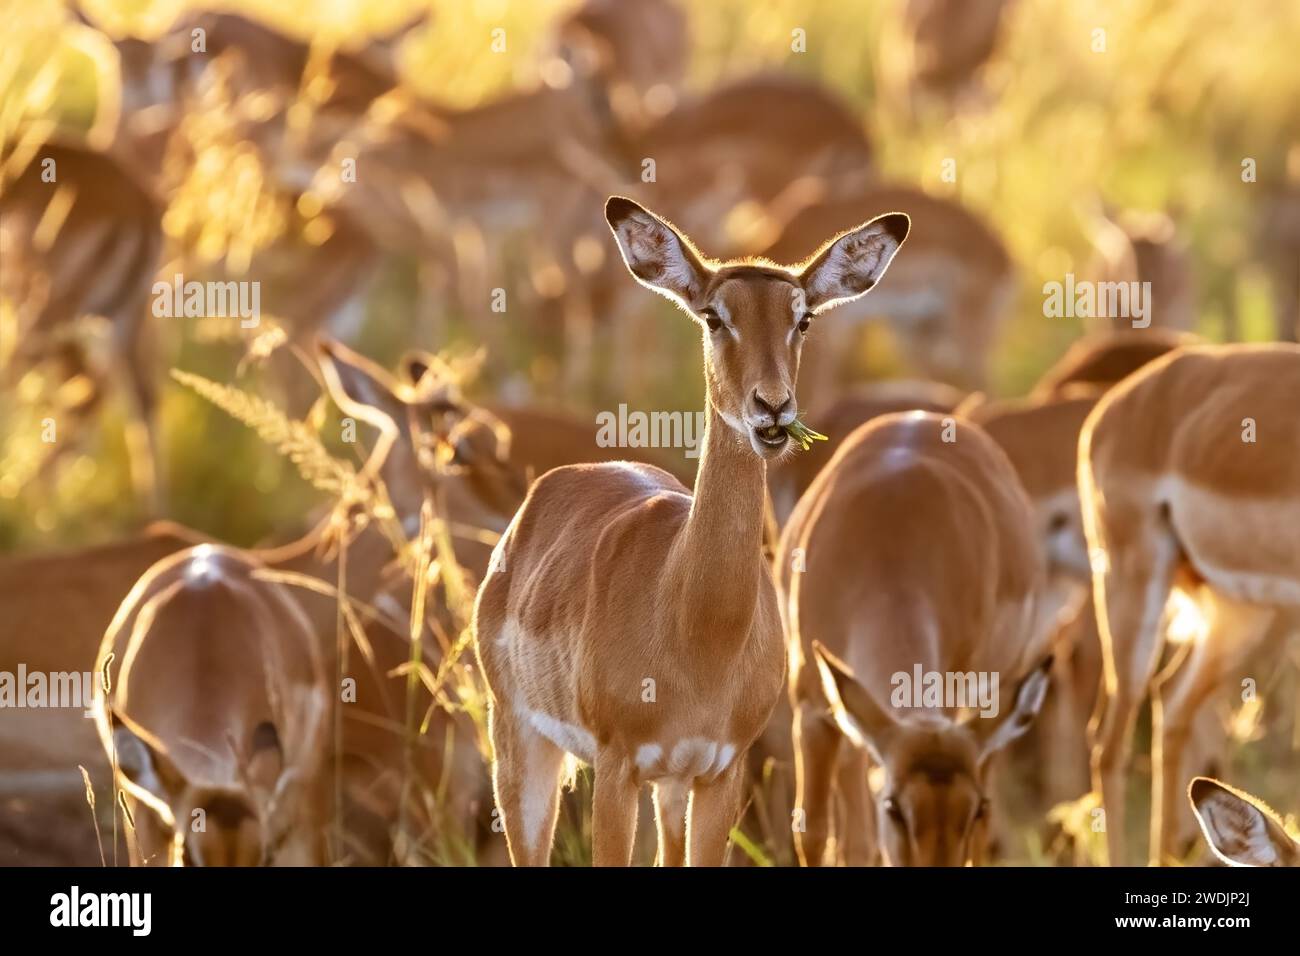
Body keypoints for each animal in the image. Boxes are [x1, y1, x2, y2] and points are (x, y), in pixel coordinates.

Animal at [472, 195, 910, 866]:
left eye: (803, 317)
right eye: (714, 316)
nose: (772, 408)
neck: (695, 626)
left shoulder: (719, 773)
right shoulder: (618, 767)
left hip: (668, 785)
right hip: (520, 742)